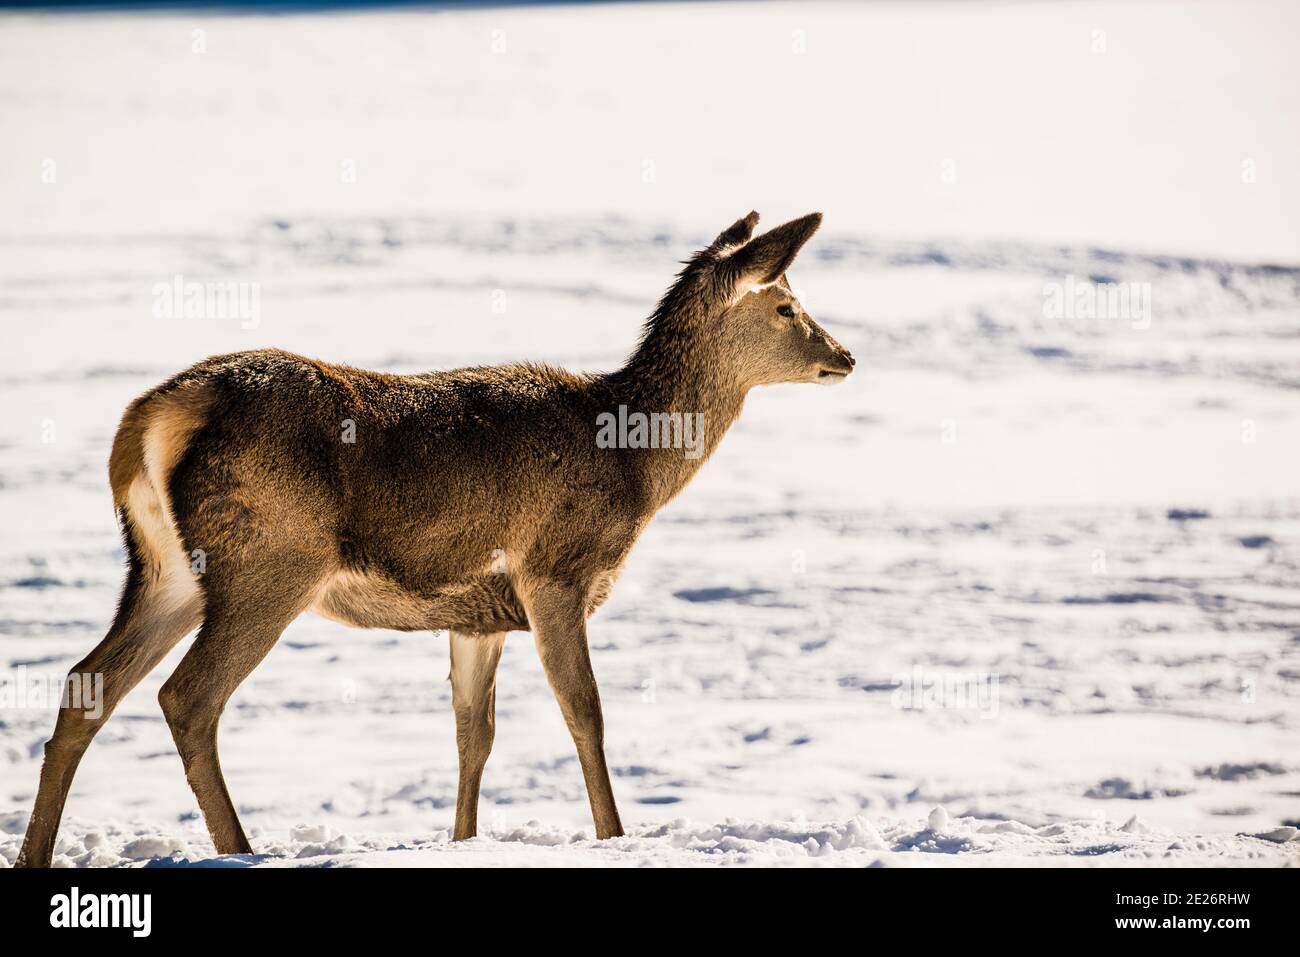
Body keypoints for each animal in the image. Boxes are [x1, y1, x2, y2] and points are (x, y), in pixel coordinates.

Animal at [16, 210, 853, 867]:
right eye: (787, 305)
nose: (844, 355)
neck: (631, 464)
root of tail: (152, 414)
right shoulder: (553, 568)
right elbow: (584, 710)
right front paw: (616, 837)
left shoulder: (479, 614)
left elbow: (472, 734)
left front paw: (463, 841)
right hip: (270, 560)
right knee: (186, 696)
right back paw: (240, 849)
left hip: (166, 568)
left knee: (86, 683)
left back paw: (36, 852)